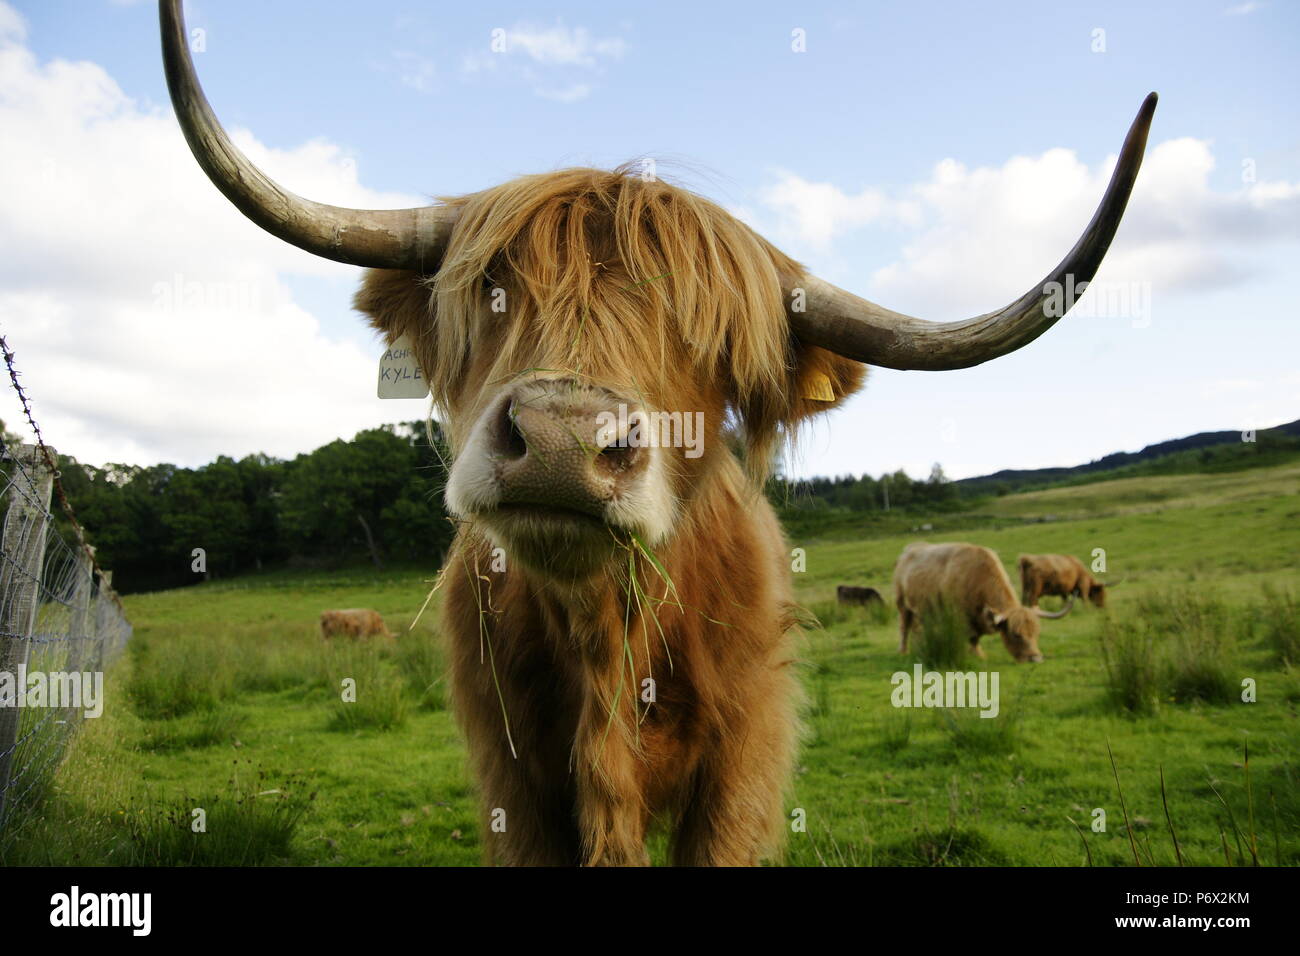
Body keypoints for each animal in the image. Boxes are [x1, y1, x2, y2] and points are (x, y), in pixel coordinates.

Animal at [893, 542, 1075, 663]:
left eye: (1036, 633)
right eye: (1016, 634)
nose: (1036, 658)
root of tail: (910, 549)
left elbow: (976, 638)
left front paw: (978, 654)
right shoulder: (961, 617)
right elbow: (972, 636)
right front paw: (975, 655)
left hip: (922, 610)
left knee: (918, 628)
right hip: (902, 604)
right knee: (904, 627)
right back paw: (903, 651)